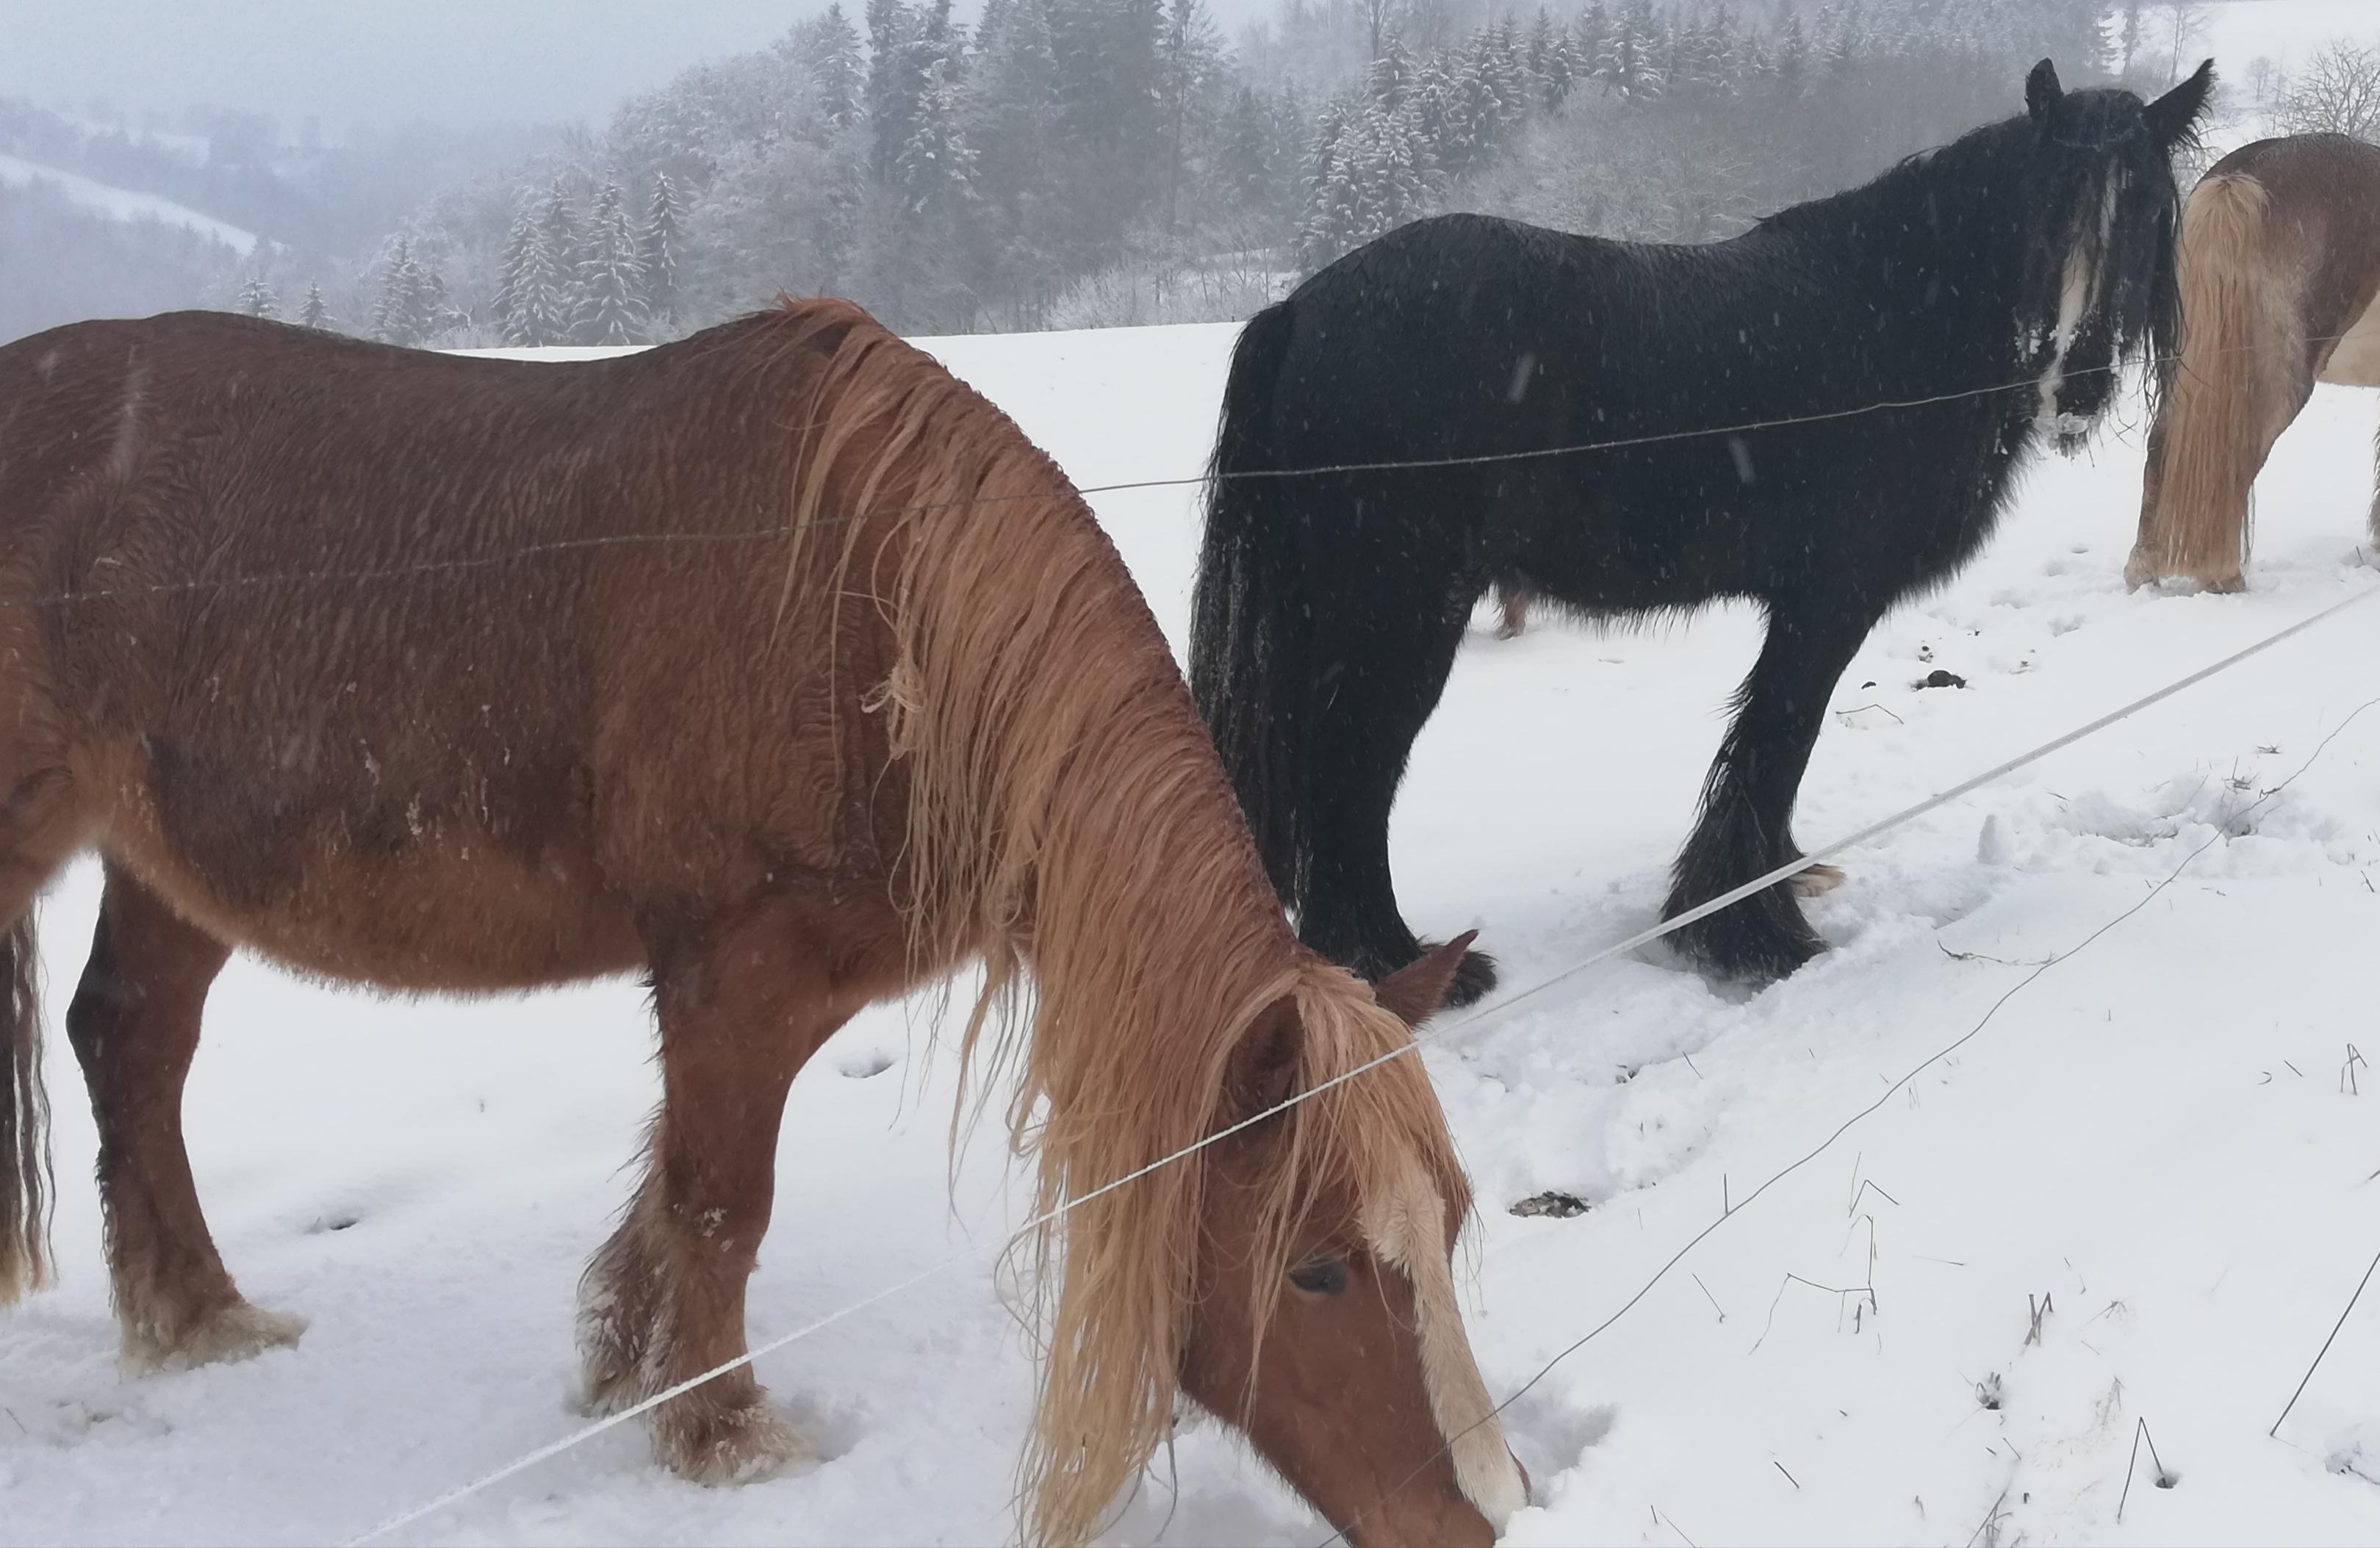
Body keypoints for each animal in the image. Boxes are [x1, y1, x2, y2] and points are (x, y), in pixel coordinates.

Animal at [0, 301, 1528, 1546]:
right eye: (1318, 1268)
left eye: (1452, 1224)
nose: (1481, 1516)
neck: (867, 610)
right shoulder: (731, 968)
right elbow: (724, 1202)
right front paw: (727, 1437)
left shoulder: (800, 975)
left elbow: (674, 1186)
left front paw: (624, 1354)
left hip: (171, 864)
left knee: (132, 1043)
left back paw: (201, 1319)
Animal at [1191, 59, 2213, 1003]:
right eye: (2044, 213)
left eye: (2144, 215)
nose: (2075, 387)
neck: (1896, 314)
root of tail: (1301, 308)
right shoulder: (1827, 600)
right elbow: (1775, 740)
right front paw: (1751, 932)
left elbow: (1774, 749)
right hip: (1401, 614)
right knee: (1352, 769)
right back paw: (1397, 965)